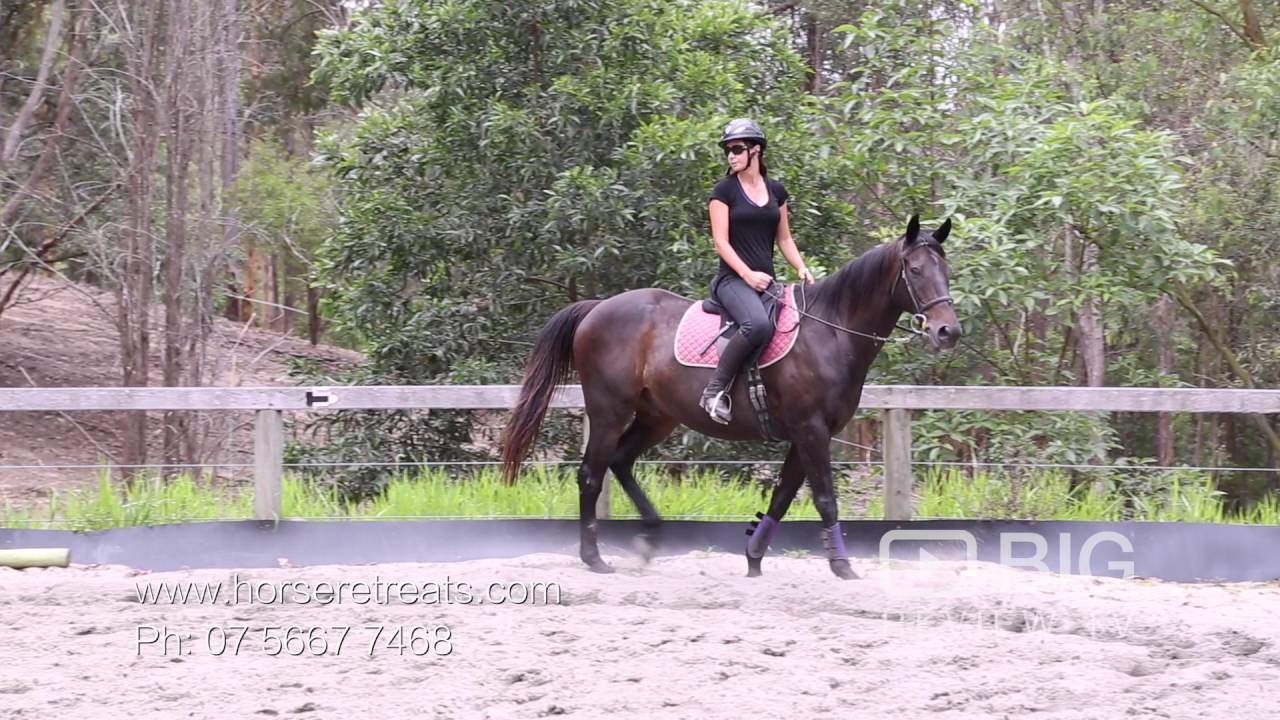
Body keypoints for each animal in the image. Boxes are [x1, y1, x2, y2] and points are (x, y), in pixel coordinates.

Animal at [500, 214, 960, 578]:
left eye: (946, 270)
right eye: (915, 270)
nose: (947, 332)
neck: (829, 332)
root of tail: (596, 308)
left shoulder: (807, 434)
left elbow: (782, 496)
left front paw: (754, 556)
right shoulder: (811, 430)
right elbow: (826, 499)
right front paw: (842, 566)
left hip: (657, 417)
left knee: (620, 462)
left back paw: (649, 539)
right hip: (609, 411)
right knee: (591, 474)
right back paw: (594, 558)